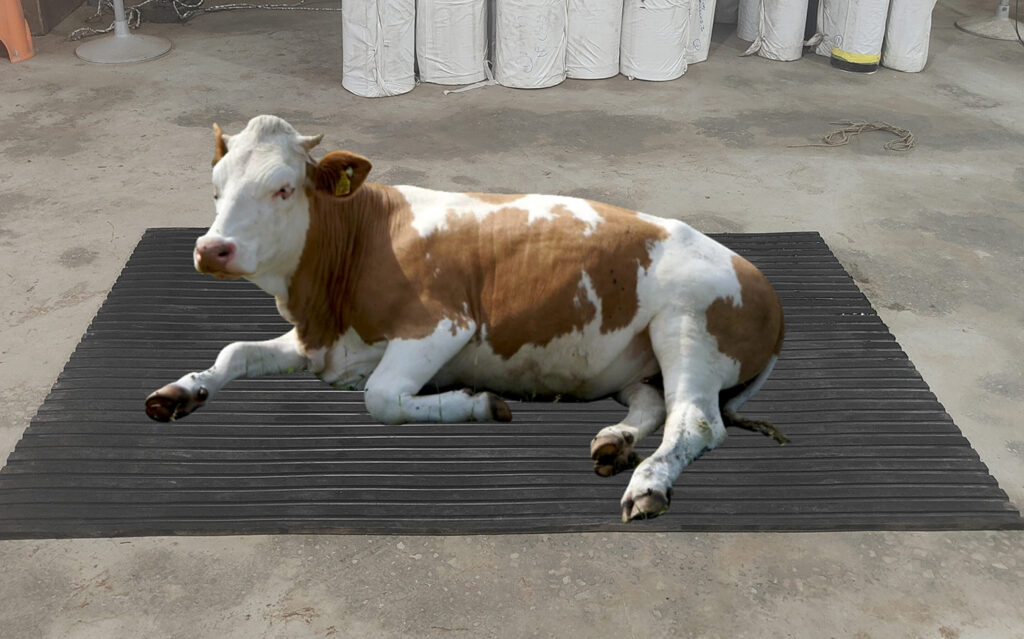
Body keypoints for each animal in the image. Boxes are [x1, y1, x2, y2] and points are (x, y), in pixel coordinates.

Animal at [145, 114, 786, 522]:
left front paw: (479, 404)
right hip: (635, 359)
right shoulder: (321, 343)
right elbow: (234, 352)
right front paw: (180, 391)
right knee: (654, 405)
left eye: (282, 189)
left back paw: (649, 482)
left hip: (688, 326)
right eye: (215, 187)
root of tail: (762, 284)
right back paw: (614, 443)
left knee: (696, 421)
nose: (212, 249)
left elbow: (380, 398)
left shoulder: (443, 324)